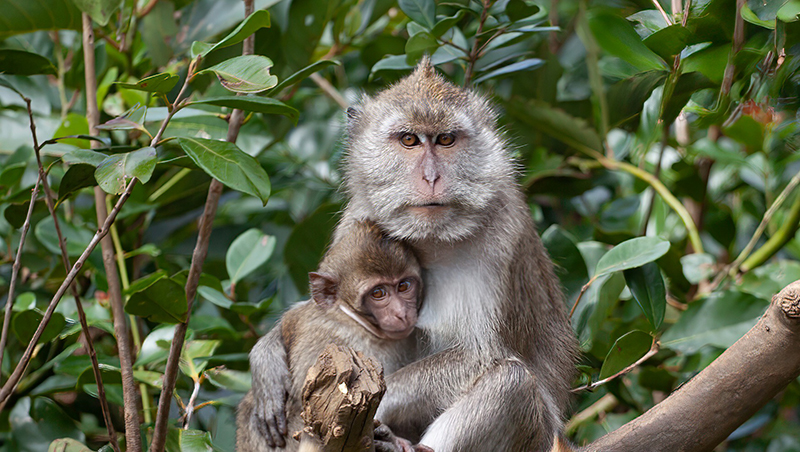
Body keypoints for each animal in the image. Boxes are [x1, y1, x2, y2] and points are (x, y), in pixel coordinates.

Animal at [237, 221, 425, 452]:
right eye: (378, 293)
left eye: (403, 286)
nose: (401, 314)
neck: (355, 321)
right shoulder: (331, 341)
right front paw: (392, 440)